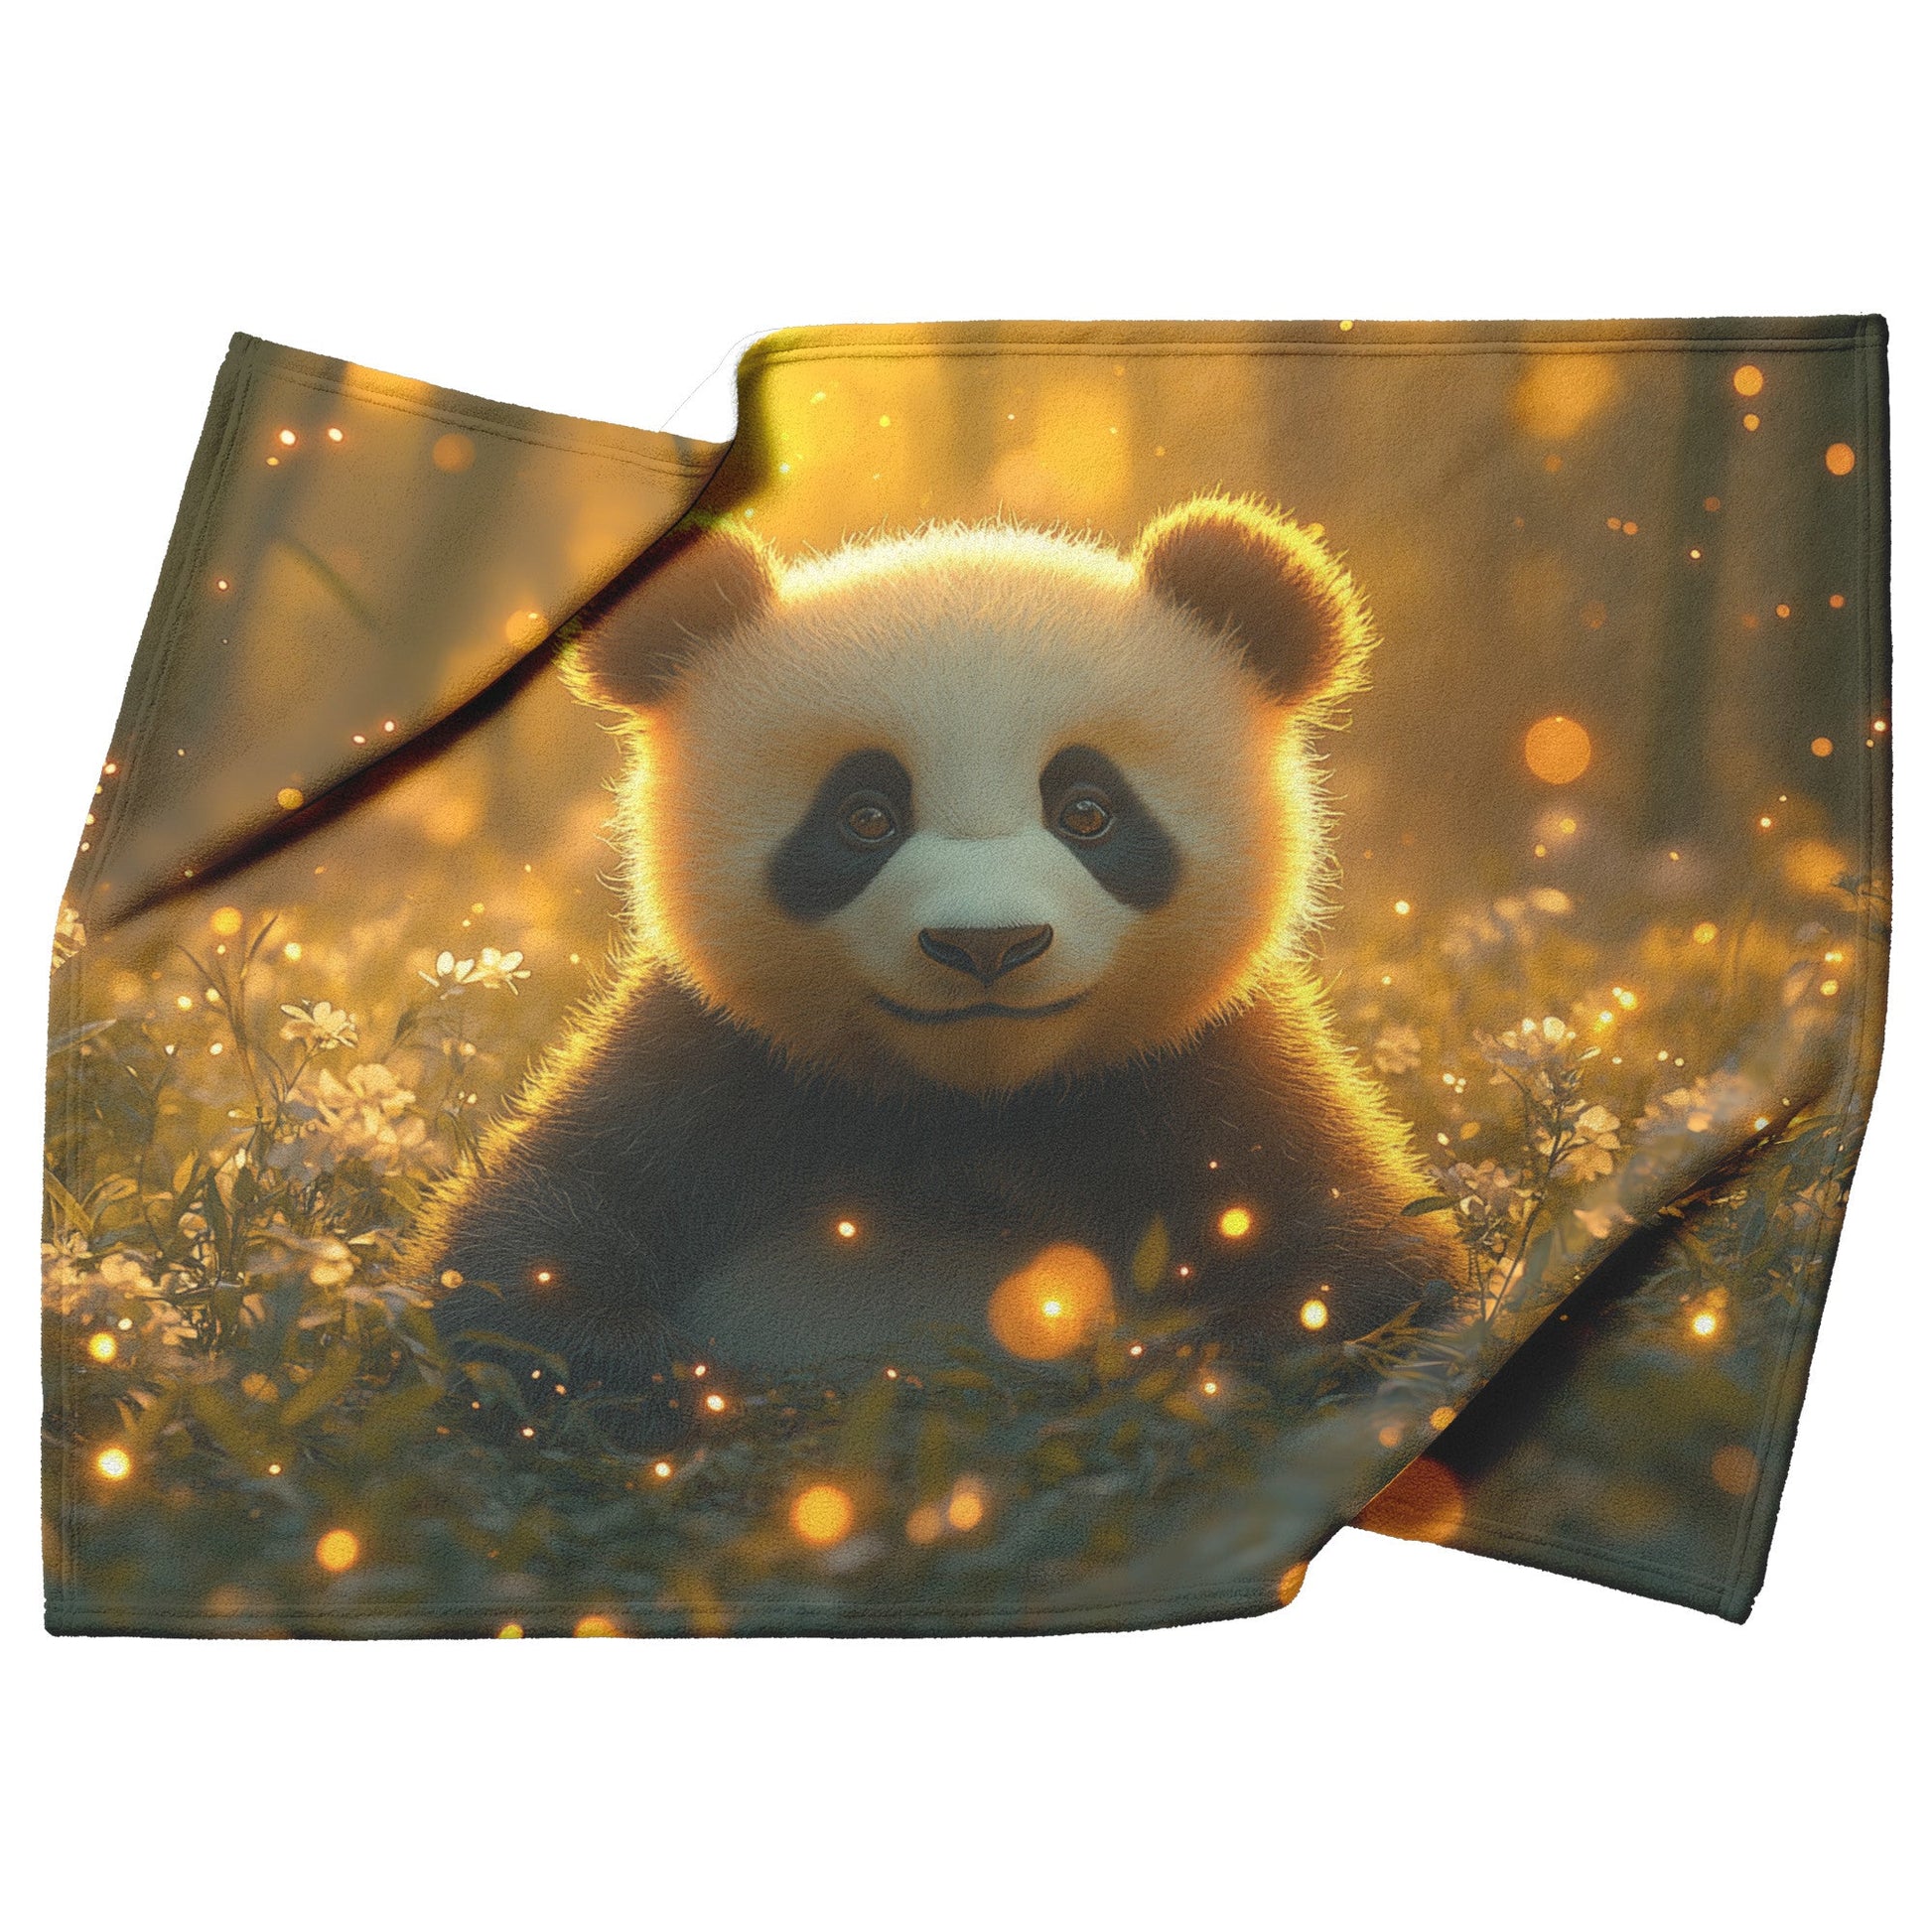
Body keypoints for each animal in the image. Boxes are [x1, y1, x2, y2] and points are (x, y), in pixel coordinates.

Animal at [416, 495, 1460, 1410]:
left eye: (1087, 809)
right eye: (865, 816)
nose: (985, 944)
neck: (973, 1108)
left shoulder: (1207, 1071)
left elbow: (1373, 1262)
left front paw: (1173, 1365)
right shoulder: (714, 1063)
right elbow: (517, 1254)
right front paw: (686, 1384)